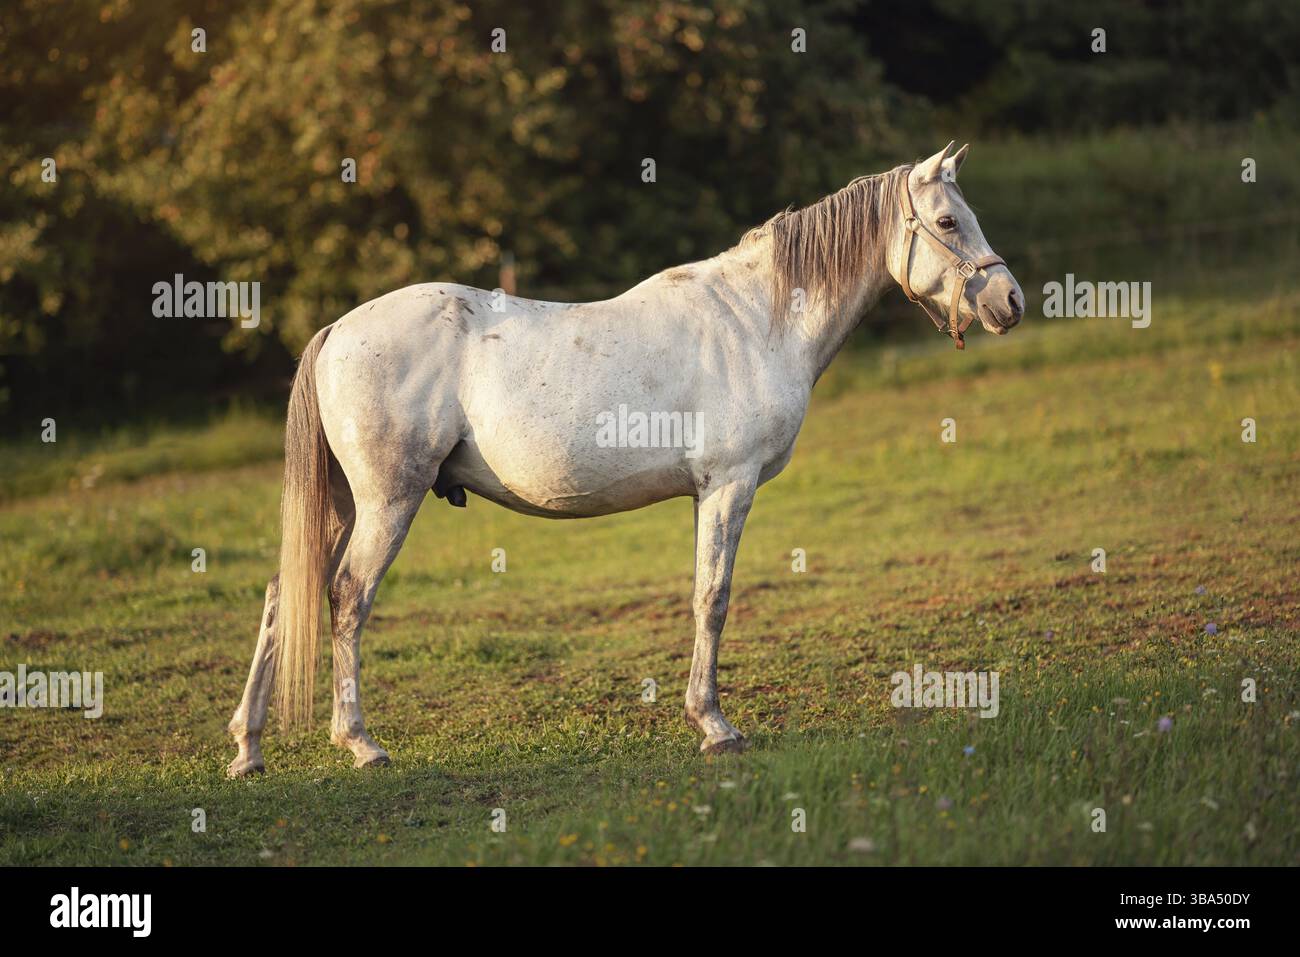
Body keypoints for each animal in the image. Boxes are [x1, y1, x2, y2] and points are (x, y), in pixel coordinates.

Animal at [227, 141, 1025, 776]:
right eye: (949, 222)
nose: (1011, 301)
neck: (755, 319)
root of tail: (336, 331)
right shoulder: (728, 487)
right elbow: (713, 599)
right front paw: (715, 726)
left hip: (341, 504)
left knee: (282, 595)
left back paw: (248, 748)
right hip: (387, 501)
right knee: (348, 597)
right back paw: (360, 743)